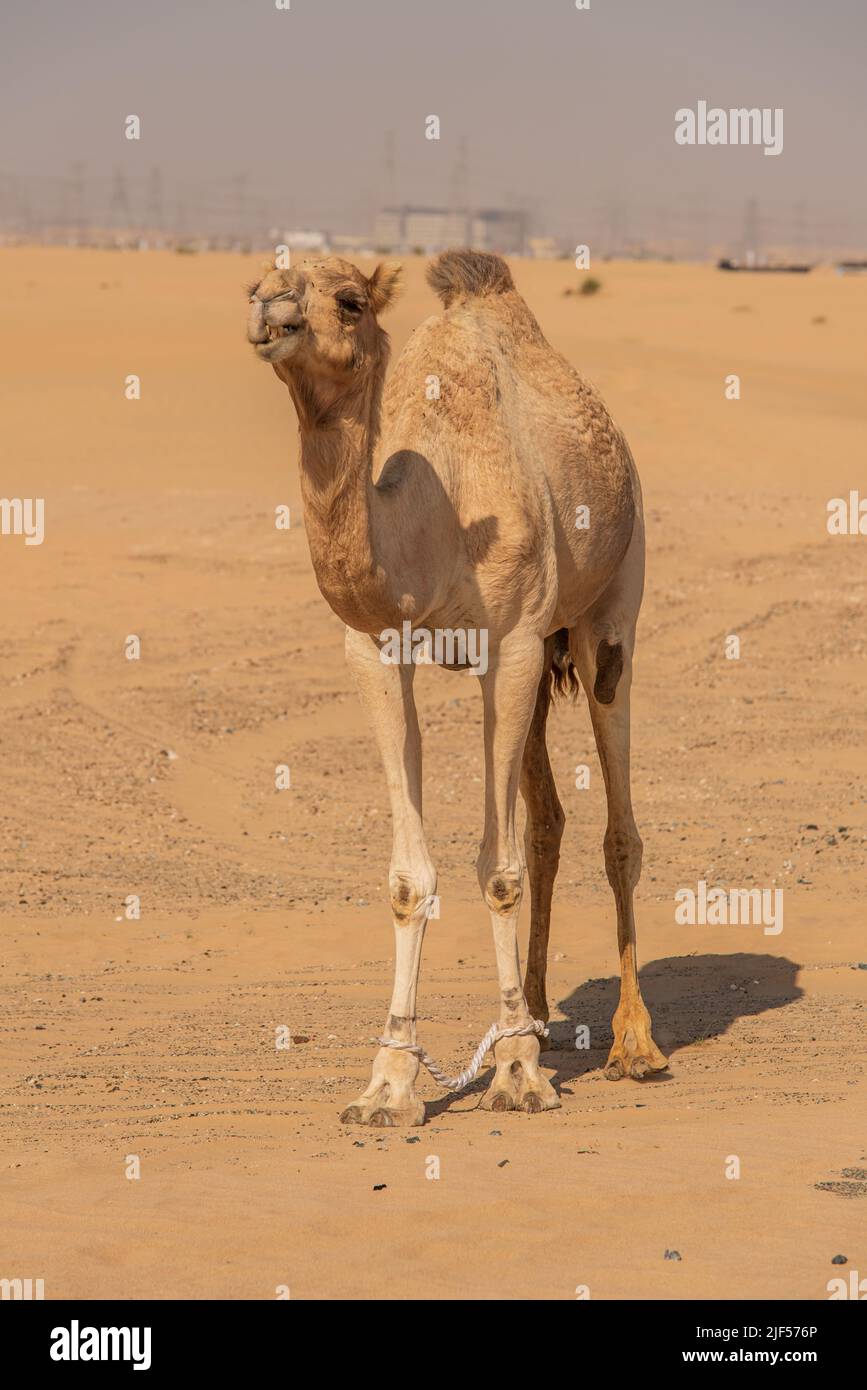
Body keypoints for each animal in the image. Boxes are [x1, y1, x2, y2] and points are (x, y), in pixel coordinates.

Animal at [246, 249, 667, 1125]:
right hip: (543, 656)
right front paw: (388, 1084)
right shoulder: (377, 652)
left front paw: (517, 1076)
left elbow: (496, 868)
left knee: (618, 831)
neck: (435, 529)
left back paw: (632, 1045)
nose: (271, 311)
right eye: (253, 283)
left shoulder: (509, 647)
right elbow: (412, 877)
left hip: (608, 612)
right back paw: (535, 1013)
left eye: (349, 300)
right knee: (547, 821)